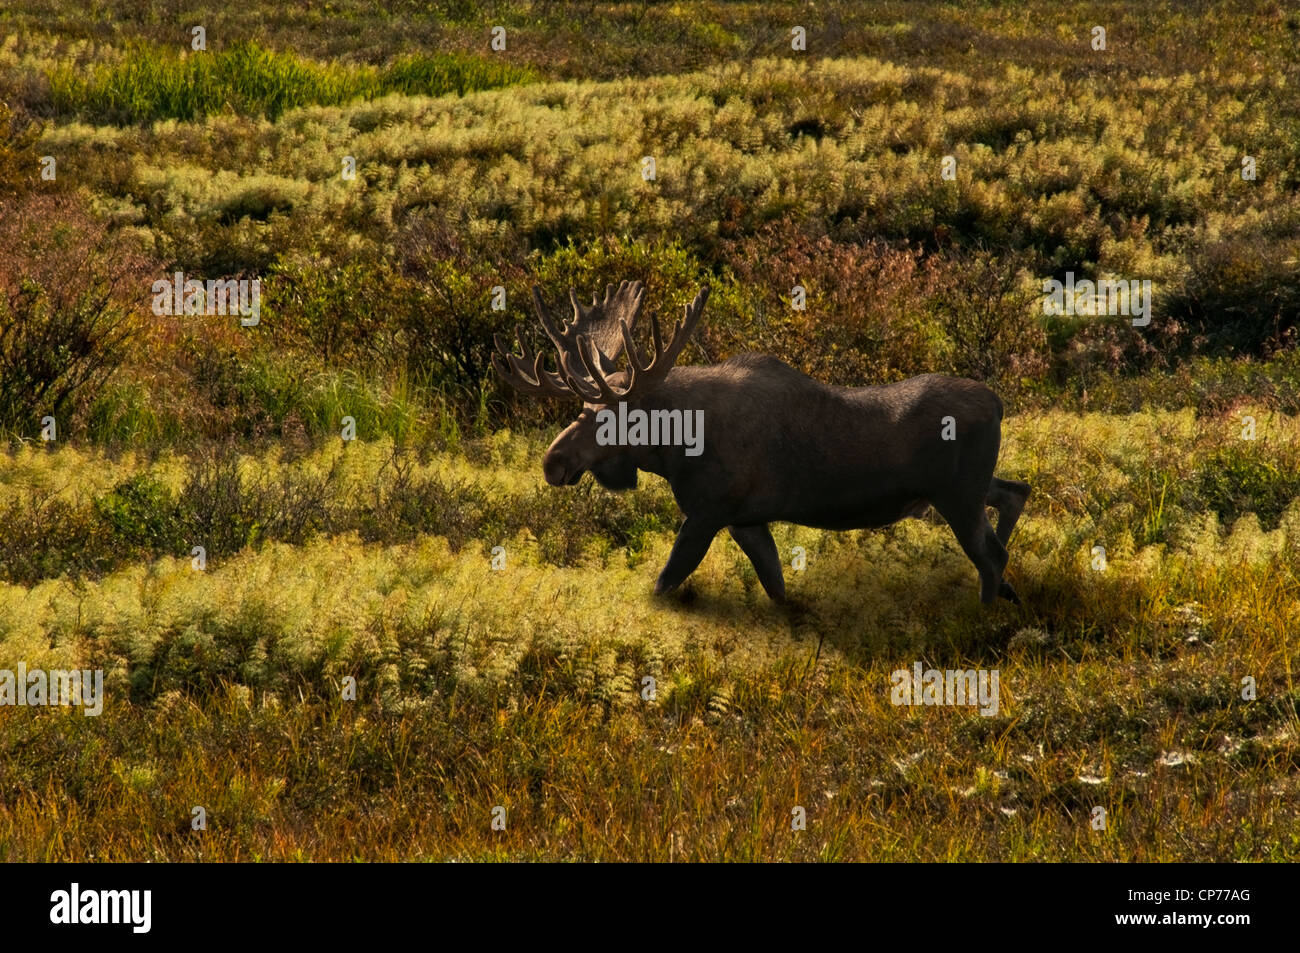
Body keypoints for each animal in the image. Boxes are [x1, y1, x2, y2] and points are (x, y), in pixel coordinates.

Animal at [493, 279, 1031, 605]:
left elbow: (665, 582)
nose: (552, 461)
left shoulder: (708, 513)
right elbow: (777, 586)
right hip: (966, 488)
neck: (674, 447)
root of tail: (998, 401)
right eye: (580, 411)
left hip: (956, 495)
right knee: (1015, 492)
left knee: (991, 553)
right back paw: (1008, 591)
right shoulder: (746, 520)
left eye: (607, 418)